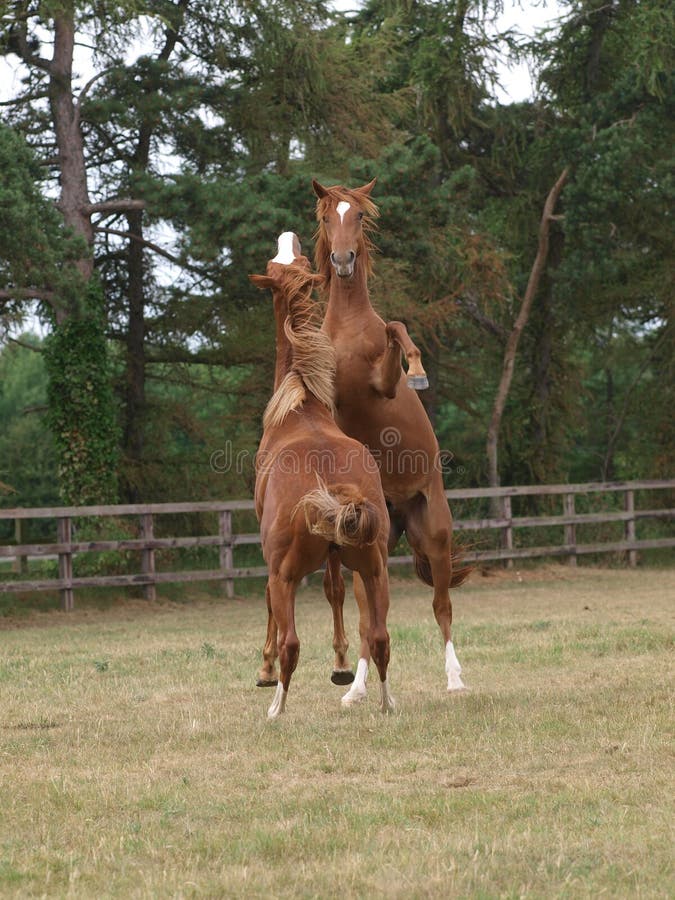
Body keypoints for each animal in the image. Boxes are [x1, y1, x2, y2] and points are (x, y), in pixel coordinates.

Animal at [249, 232, 395, 718]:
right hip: (374, 567)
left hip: (286, 575)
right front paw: (341, 665)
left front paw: (264, 670)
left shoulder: (275, 567)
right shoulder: (337, 556)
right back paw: (385, 702)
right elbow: (335, 592)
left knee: (291, 642)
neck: (300, 408)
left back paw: (276, 707)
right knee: (380, 637)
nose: (287, 237)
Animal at [312, 178, 470, 701]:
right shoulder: (333, 399)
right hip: (373, 547)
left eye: (359, 215)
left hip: (435, 532)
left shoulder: (381, 384)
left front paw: (418, 371)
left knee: (442, 606)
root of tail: (400, 510)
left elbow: (396, 331)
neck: (347, 326)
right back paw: (356, 688)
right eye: (326, 217)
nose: (342, 260)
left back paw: (455, 678)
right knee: (367, 616)